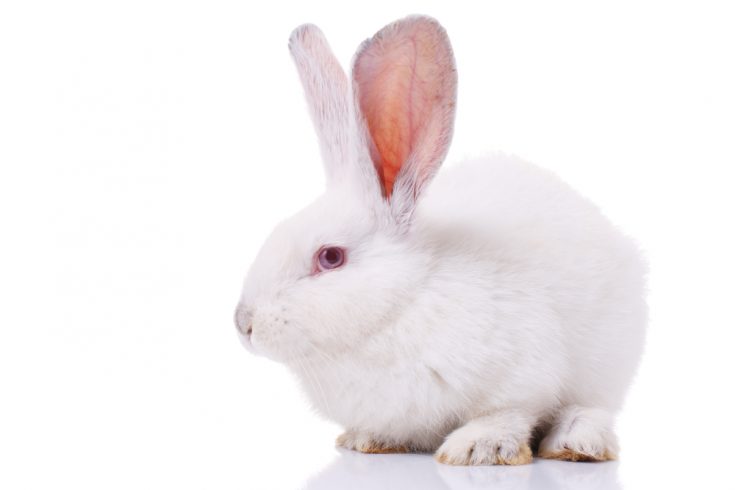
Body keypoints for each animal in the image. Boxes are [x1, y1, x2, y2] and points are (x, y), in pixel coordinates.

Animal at [234, 15, 647, 466]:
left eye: (330, 257)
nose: (243, 323)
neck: (401, 306)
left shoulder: (525, 375)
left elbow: (509, 412)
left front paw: (479, 448)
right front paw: (367, 440)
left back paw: (577, 443)